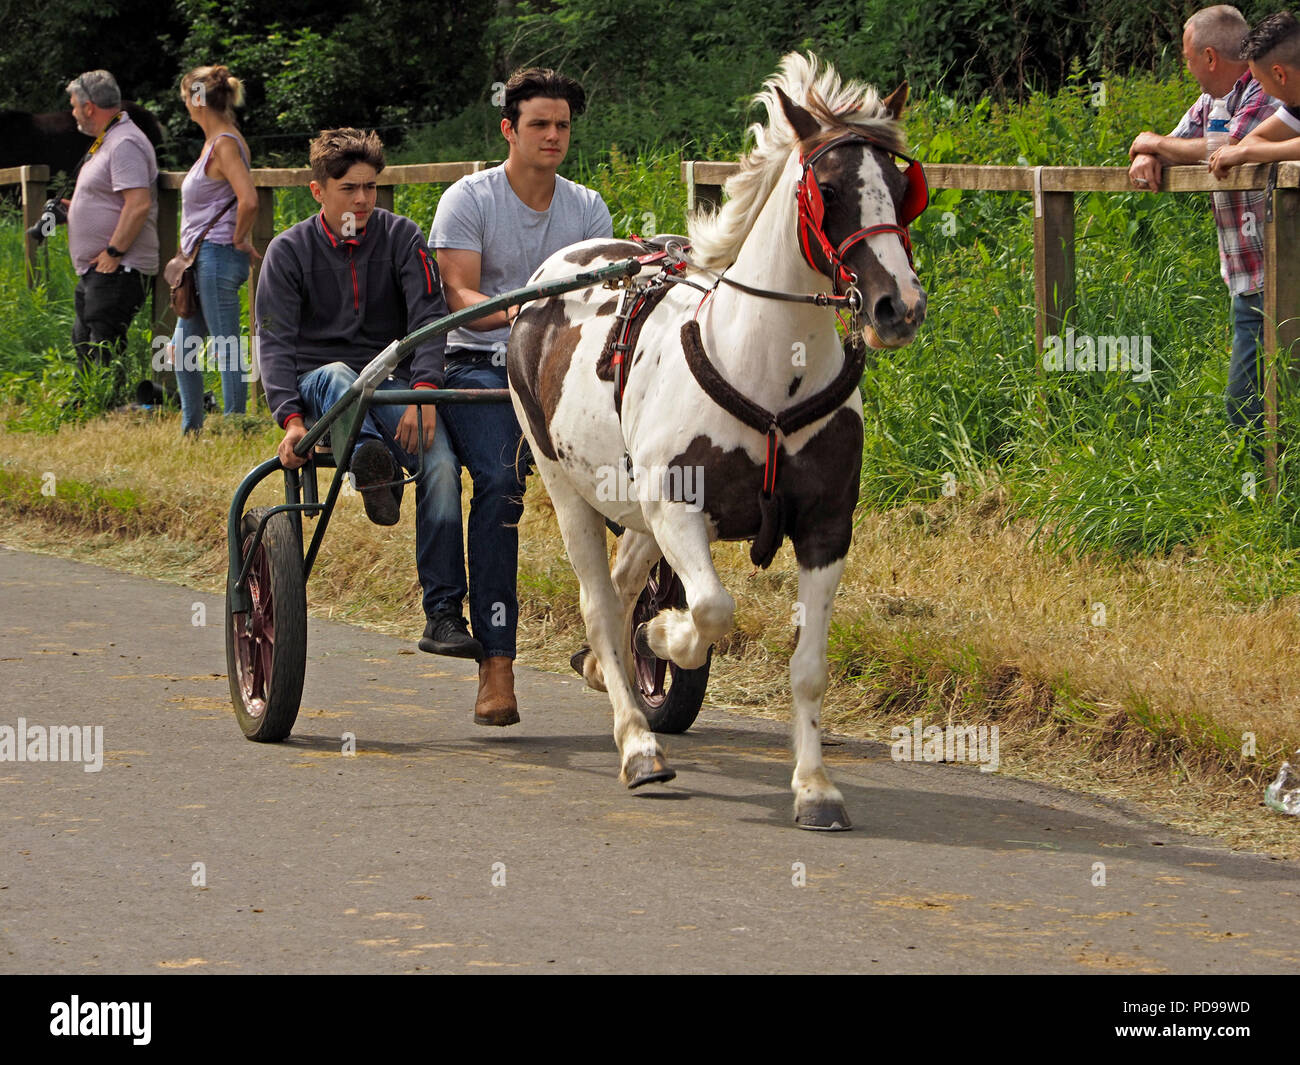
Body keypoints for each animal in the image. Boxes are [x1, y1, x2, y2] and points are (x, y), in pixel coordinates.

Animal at [507, 52, 928, 830]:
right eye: (826, 188)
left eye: (903, 186)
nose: (899, 306)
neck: (769, 375)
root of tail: (558, 270)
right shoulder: (680, 510)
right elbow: (709, 609)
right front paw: (664, 640)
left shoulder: (826, 526)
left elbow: (809, 667)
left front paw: (814, 786)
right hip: (565, 484)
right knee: (601, 605)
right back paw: (638, 742)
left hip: (635, 502)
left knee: (624, 583)